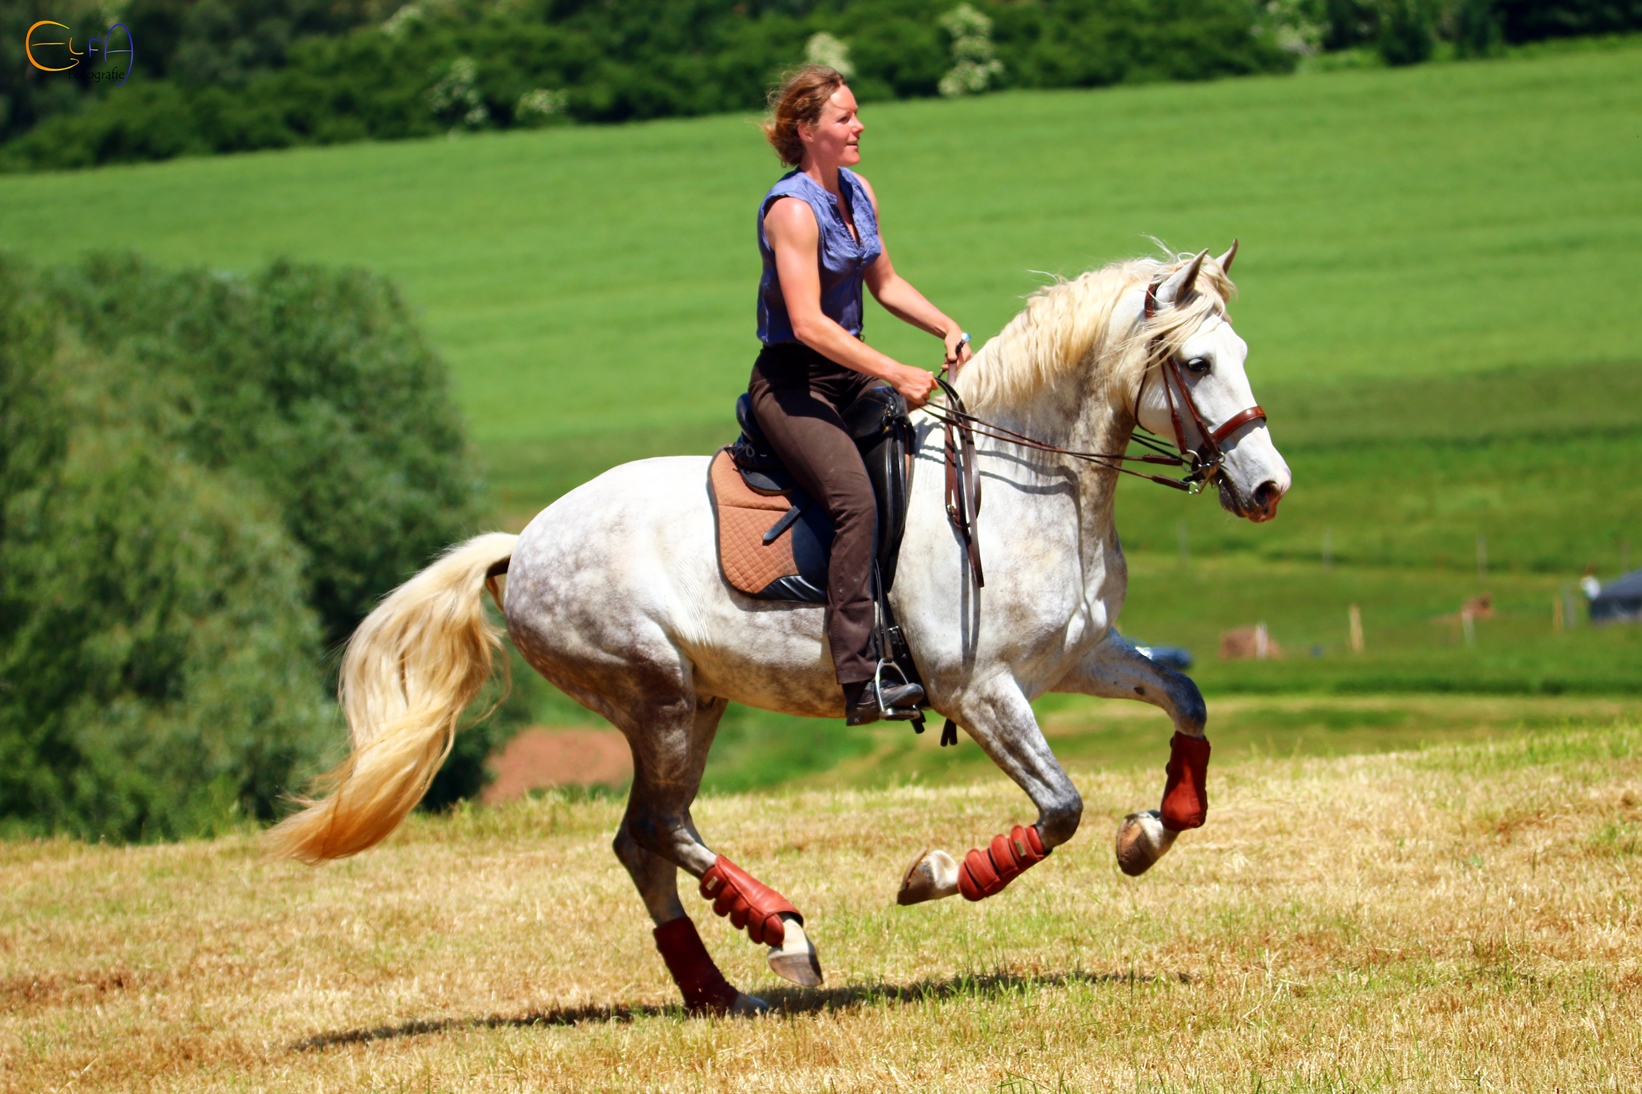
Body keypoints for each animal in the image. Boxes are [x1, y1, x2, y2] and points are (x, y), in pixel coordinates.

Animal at [268, 246, 1291, 1015]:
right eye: (1195, 364)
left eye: (1242, 349)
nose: (1270, 487)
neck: (1029, 484)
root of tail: (524, 546)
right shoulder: (980, 690)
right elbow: (1060, 808)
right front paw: (937, 874)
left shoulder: (1074, 659)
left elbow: (1186, 699)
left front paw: (1156, 827)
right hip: (659, 696)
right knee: (659, 828)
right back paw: (782, 933)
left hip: (693, 705)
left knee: (643, 839)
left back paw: (718, 989)